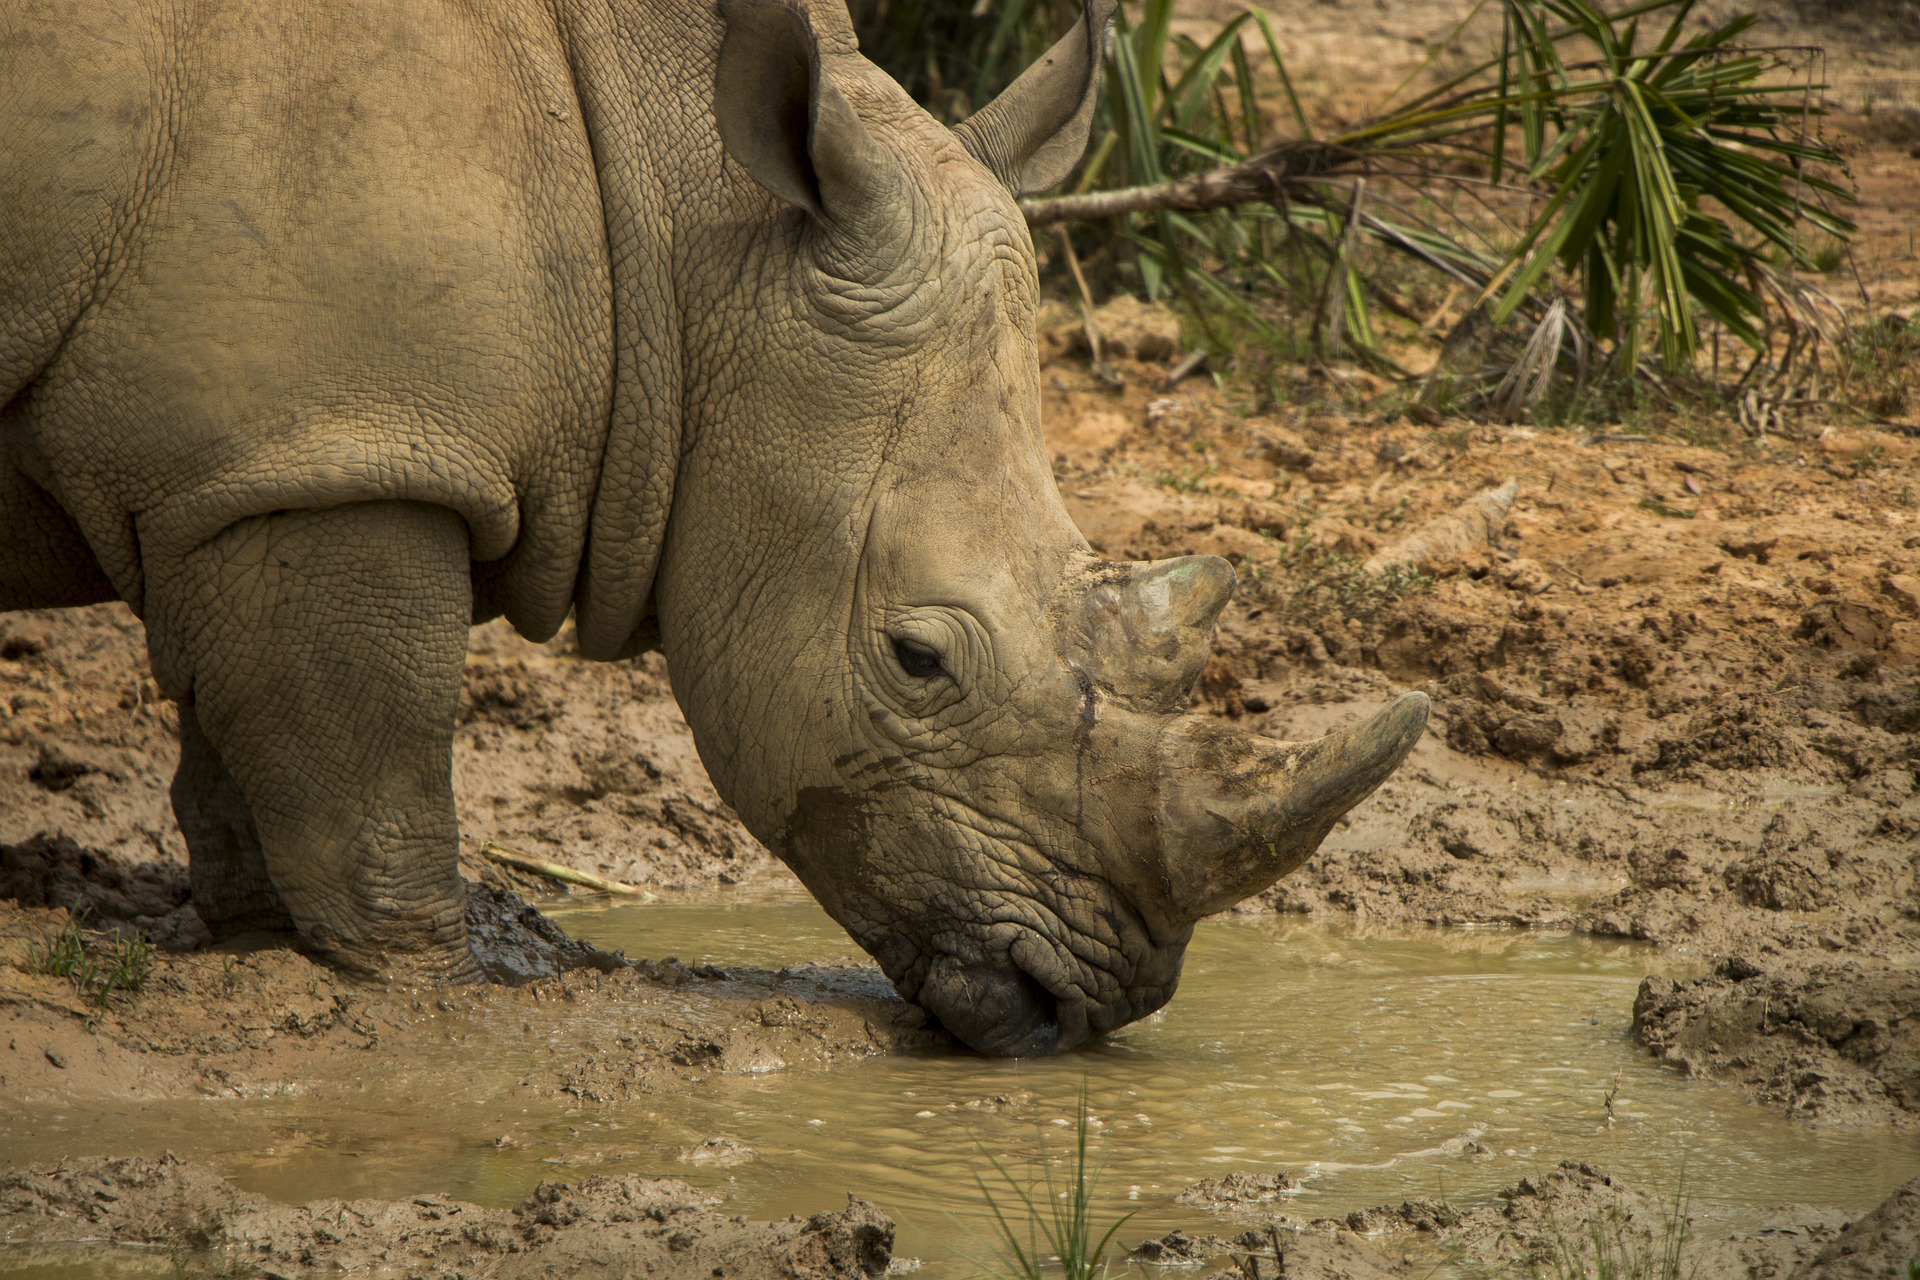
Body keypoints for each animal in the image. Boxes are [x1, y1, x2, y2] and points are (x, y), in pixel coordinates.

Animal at [0, 0, 1425, 1055]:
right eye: (919, 659)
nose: (1093, 1001)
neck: (685, 234)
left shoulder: (251, 464)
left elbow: (239, 750)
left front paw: (254, 945)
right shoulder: (338, 453)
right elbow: (371, 784)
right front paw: (420, 997)